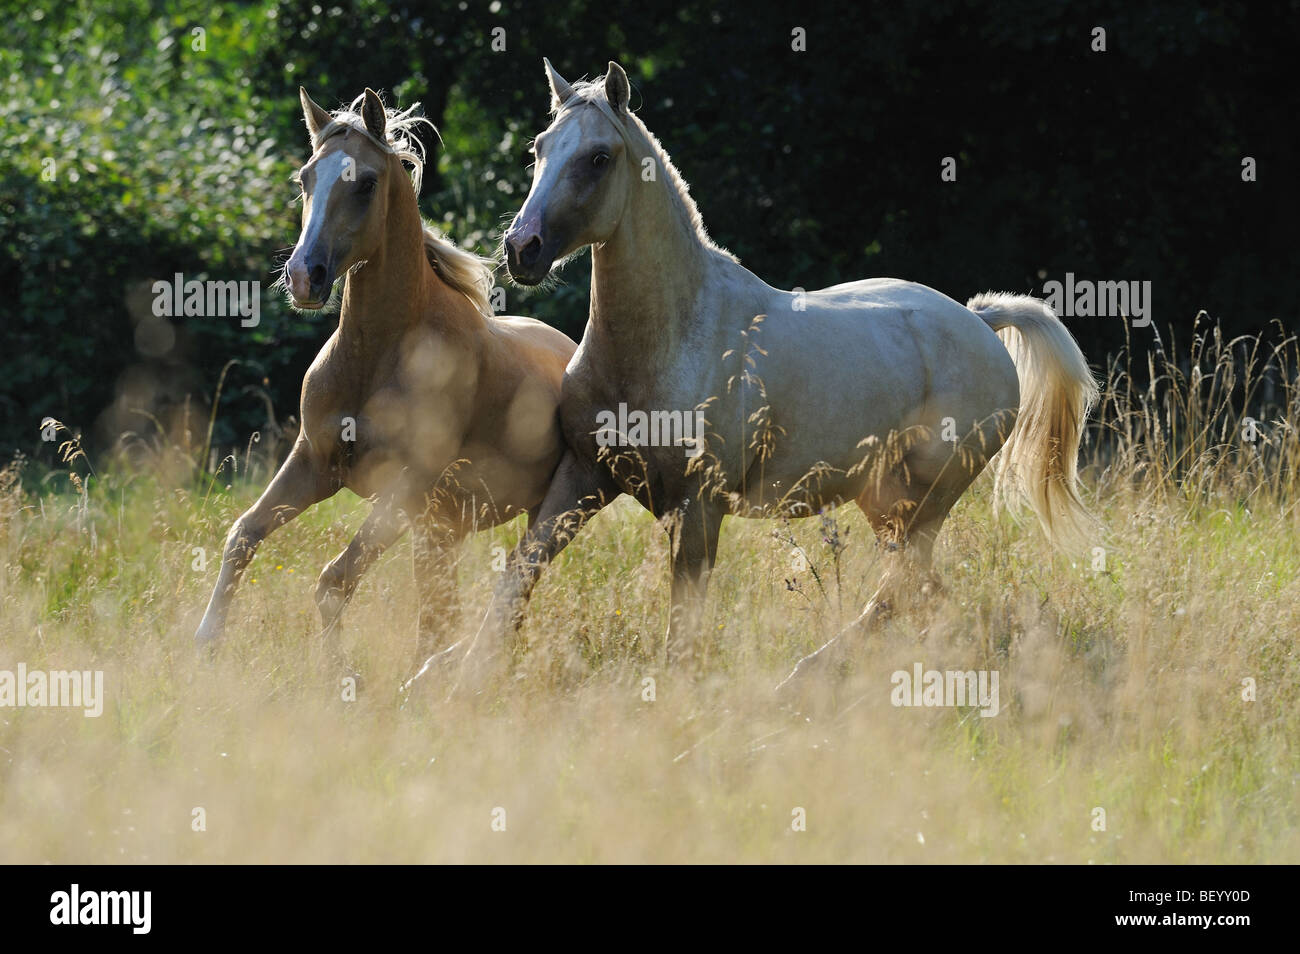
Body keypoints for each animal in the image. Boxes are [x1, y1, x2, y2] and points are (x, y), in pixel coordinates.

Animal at [194, 87, 577, 667]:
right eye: (305, 177)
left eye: (367, 183)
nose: (304, 276)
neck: (377, 356)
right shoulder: (313, 464)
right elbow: (243, 535)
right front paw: (203, 645)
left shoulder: (405, 486)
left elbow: (335, 580)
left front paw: (335, 675)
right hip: (442, 529)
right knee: (440, 611)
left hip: (540, 512)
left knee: (508, 588)